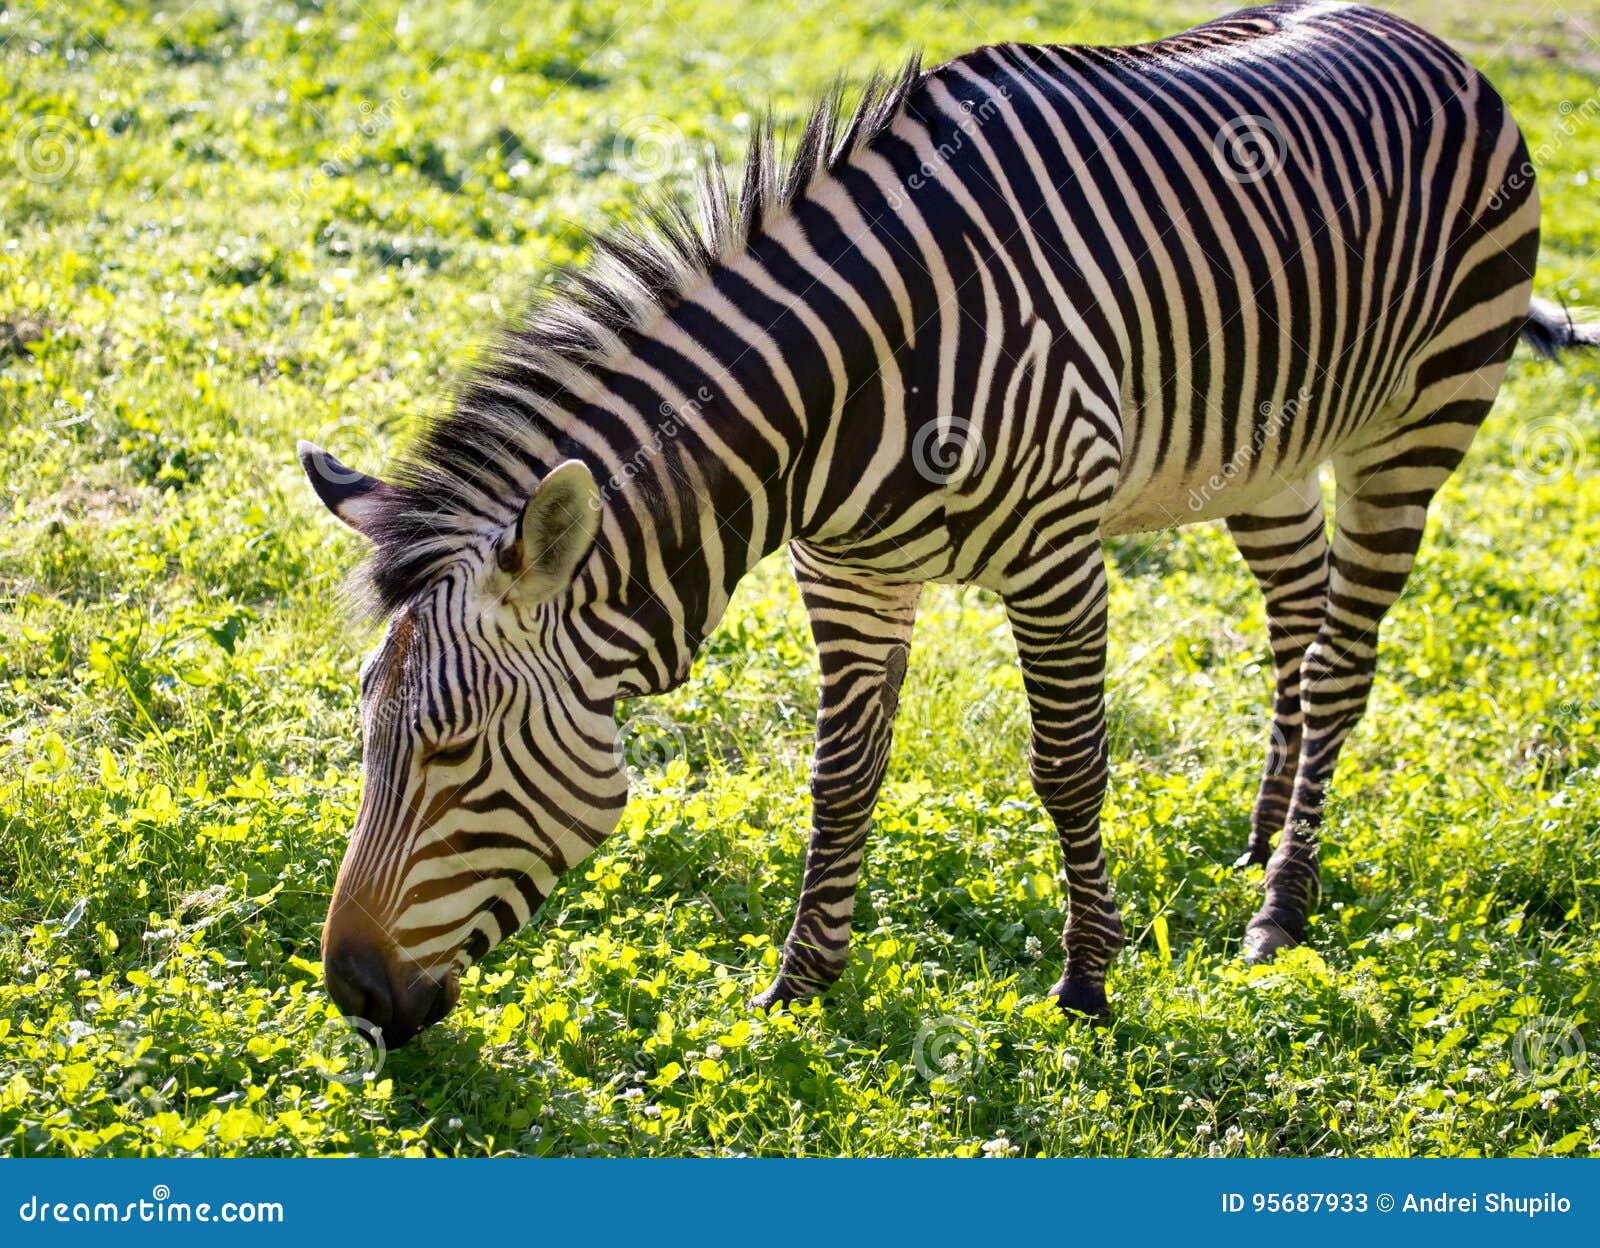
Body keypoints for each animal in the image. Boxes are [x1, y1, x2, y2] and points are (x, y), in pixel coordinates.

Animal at [299, 2, 1596, 1047]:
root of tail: (1425, 37)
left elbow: (1068, 768)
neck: (852, 384)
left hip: (1418, 422)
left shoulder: (1057, 558)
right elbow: (841, 777)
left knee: (1341, 661)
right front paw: (801, 987)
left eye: (454, 750)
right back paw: (1258, 836)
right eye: (365, 734)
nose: (353, 994)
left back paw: (1283, 905)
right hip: (1266, 447)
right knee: (1298, 618)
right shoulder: (849, 573)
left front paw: (1087, 987)